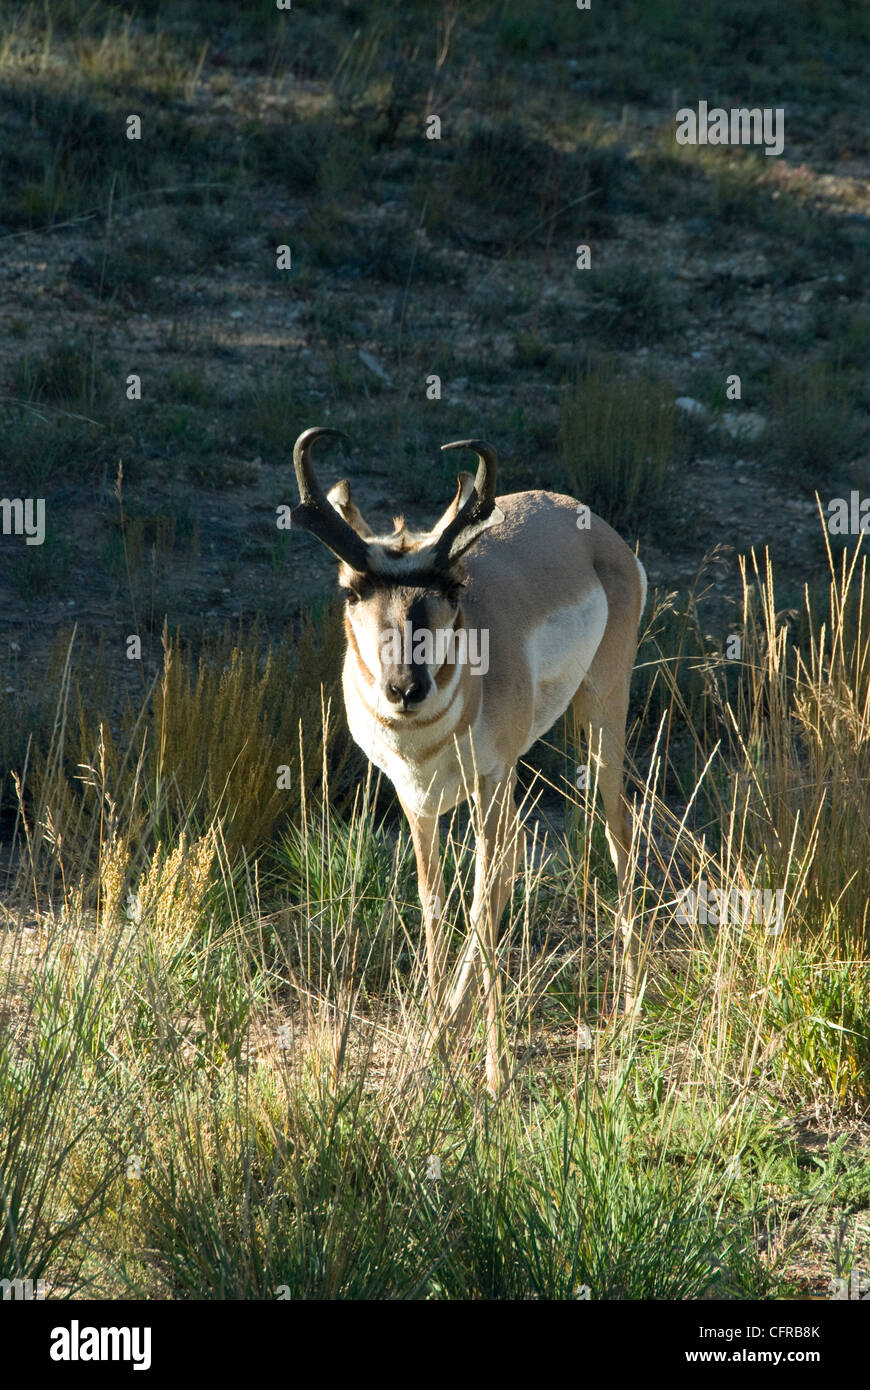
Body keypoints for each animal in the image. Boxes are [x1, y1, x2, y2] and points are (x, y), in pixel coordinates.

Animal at [291, 426, 647, 1093]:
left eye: (453, 587)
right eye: (352, 588)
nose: (406, 688)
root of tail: (591, 525)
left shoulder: (489, 779)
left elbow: (480, 900)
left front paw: (495, 1072)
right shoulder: (416, 802)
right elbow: (434, 903)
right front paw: (430, 1048)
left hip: (599, 717)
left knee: (614, 833)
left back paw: (632, 1009)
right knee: (515, 865)